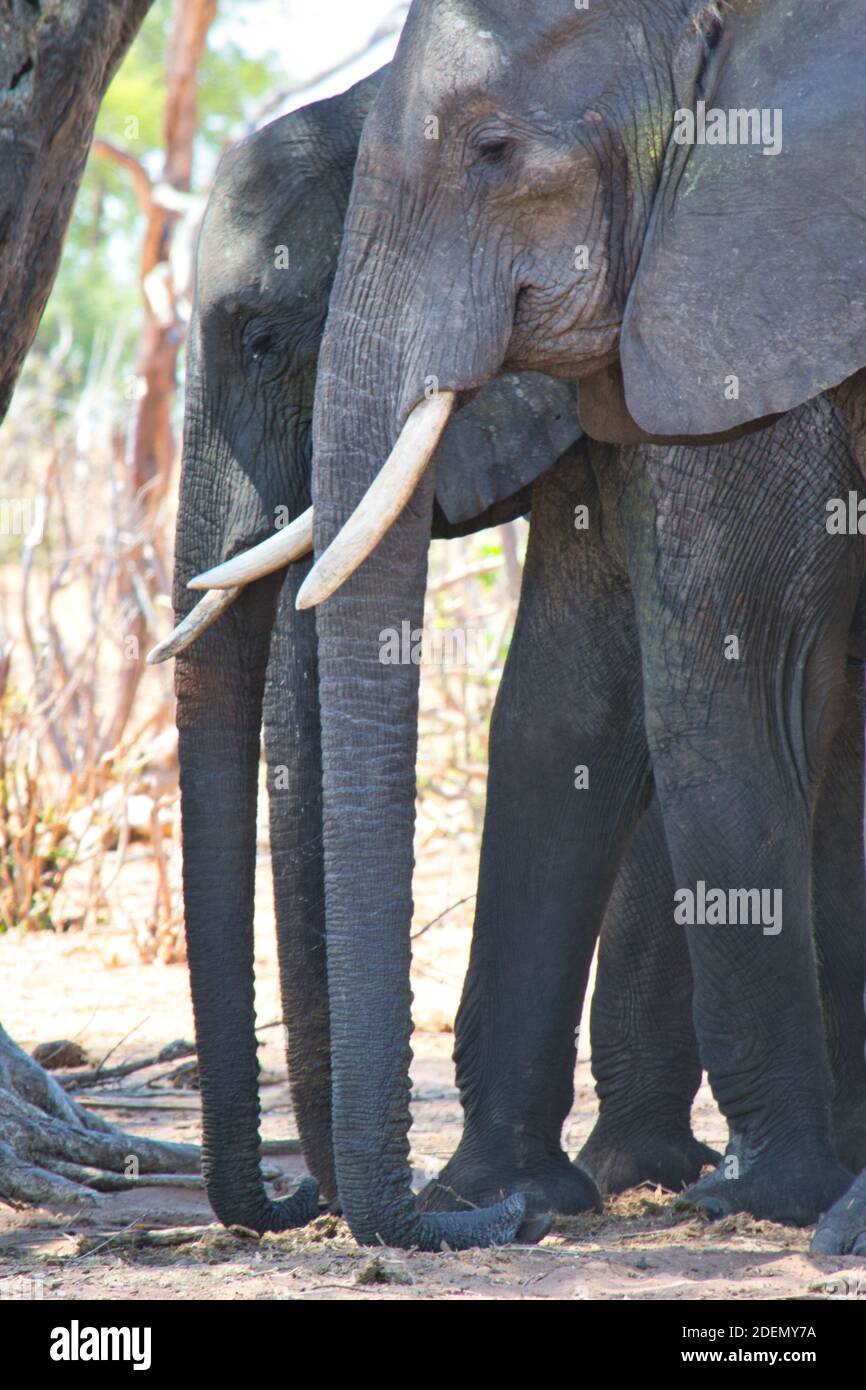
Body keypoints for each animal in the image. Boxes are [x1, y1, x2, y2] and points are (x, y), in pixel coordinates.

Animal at [206, 0, 866, 1246]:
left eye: (494, 152)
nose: (299, 1199)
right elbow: (561, 709)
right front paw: (500, 1190)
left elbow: (718, 686)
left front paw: (753, 1195)